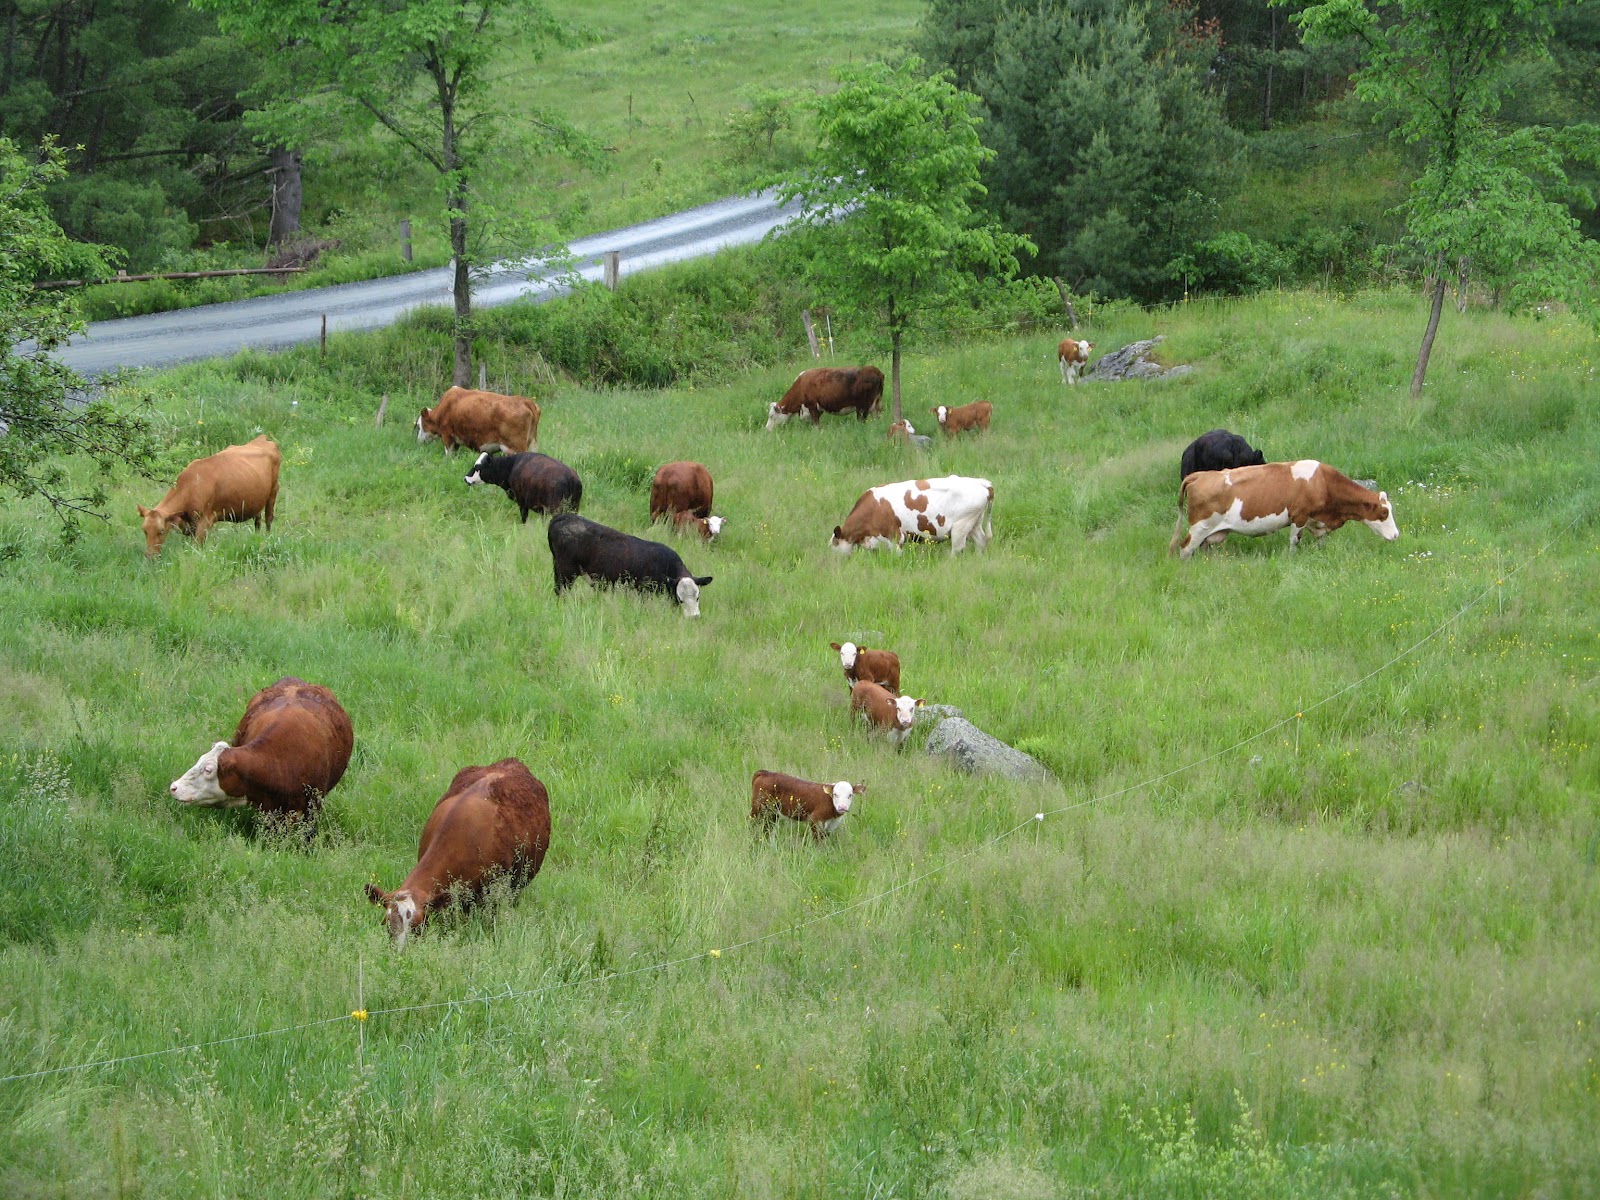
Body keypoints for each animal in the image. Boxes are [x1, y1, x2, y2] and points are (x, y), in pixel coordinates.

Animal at [137, 435, 280, 557]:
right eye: (144, 530)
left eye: (161, 530)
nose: (150, 556)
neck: (191, 485)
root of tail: (261, 438)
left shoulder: (204, 522)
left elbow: (197, 547)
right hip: (257, 499)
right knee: (258, 520)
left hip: (273, 491)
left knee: (268, 518)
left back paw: (267, 538)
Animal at [547, 512, 712, 617]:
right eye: (681, 599)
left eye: (697, 597)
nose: (693, 617)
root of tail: (564, 516)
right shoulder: (645, 590)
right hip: (566, 572)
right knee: (561, 591)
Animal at [830, 475, 994, 555]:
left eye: (833, 545)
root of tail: (981, 483)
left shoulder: (895, 537)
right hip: (974, 522)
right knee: (981, 541)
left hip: (961, 525)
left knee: (957, 548)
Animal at [1170, 461, 1399, 559]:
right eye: (1384, 513)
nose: (1396, 535)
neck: (1322, 482)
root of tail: (1199, 475)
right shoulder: (1299, 516)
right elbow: (1294, 541)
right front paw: (1291, 559)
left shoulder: (1316, 520)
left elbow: (1321, 540)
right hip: (1199, 527)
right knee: (1185, 548)